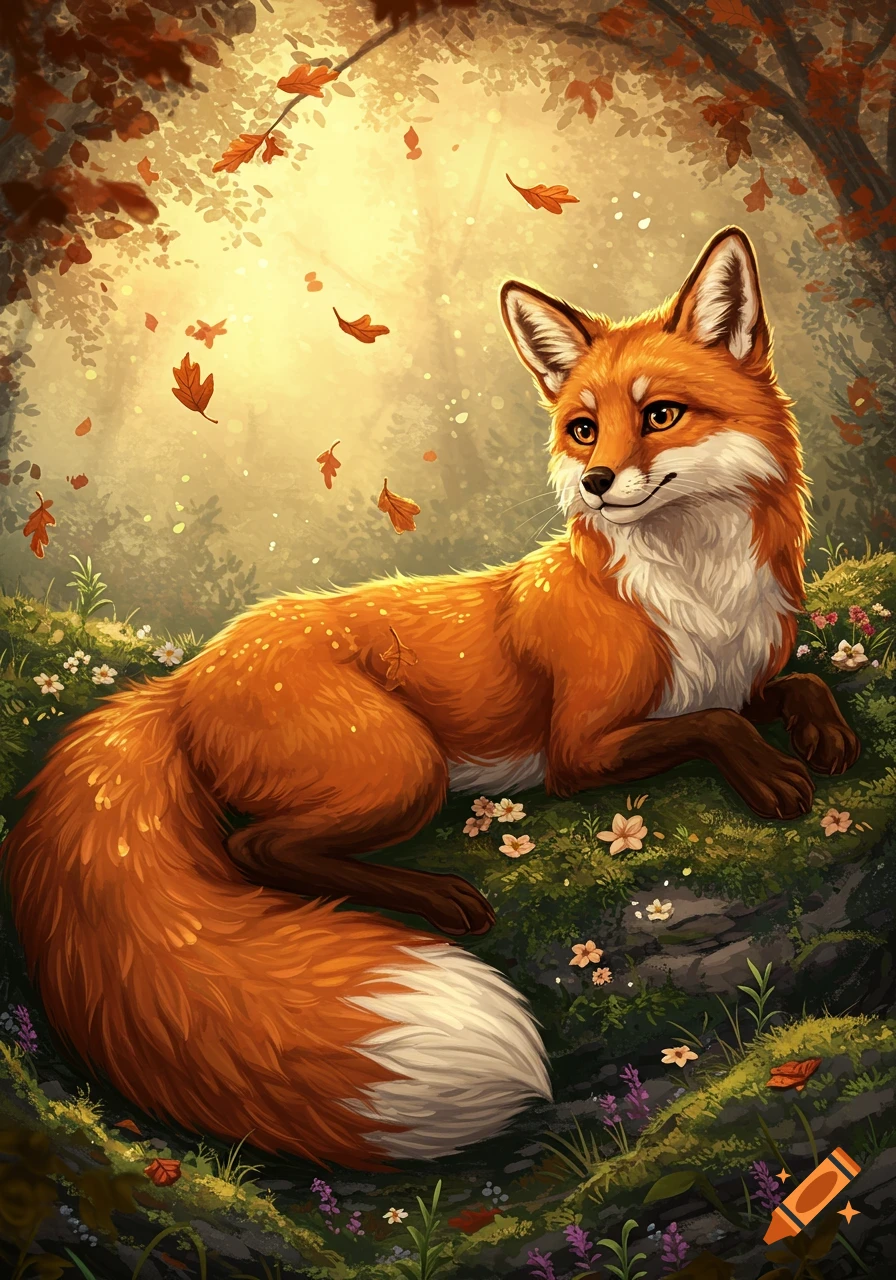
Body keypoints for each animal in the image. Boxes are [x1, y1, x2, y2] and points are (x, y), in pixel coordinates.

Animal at [3, 227, 860, 1171]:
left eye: (660, 415)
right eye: (584, 428)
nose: (595, 482)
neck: (697, 595)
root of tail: (180, 680)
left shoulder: (740, 672)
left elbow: (790, 684)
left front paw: (826, 734)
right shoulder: (580, 748)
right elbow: (710, 725)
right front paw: (772, 775)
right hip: (405, 765)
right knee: (256, 849)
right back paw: (437, 896)